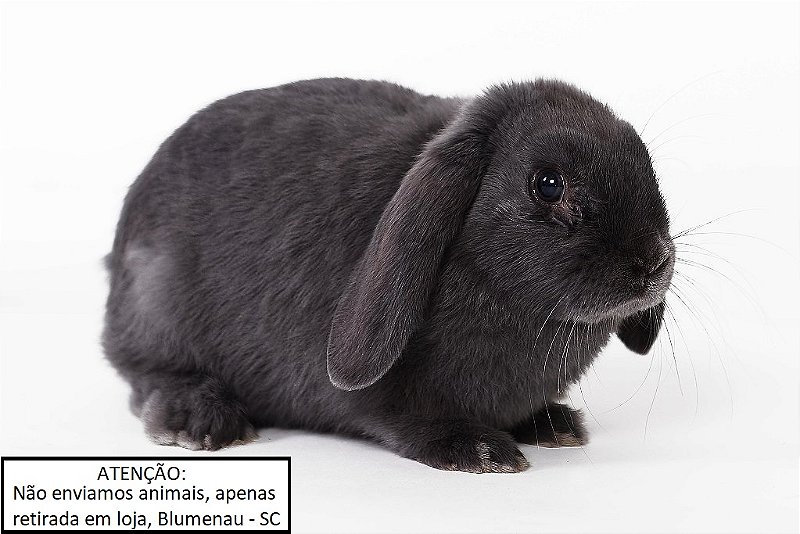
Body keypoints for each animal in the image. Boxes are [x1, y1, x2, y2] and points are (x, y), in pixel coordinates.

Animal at [104, 78, 674, 473]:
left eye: (646, 164)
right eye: (548, 184)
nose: (654, 262)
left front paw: (552, 424)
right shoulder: (388, 399)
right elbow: (402, 418)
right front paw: (480, 451)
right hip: (157, 312)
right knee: (146, 376)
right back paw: (203, 421)